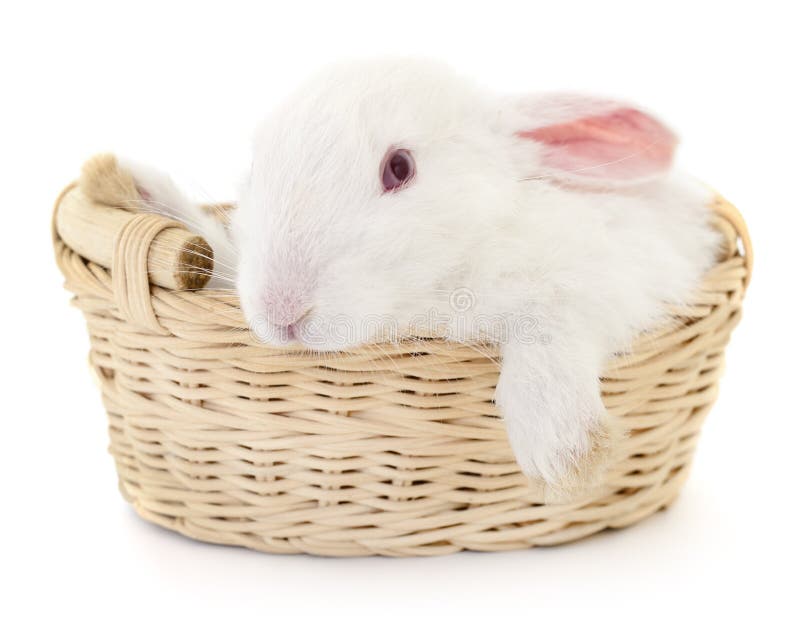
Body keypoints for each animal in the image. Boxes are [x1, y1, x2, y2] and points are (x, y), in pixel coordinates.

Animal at [117, 58, 721, 495]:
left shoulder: (606, 281)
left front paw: (567, 456)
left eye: (400, 167)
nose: (280, 310)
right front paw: (137, 187)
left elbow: (548, 327)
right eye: (256, 166)